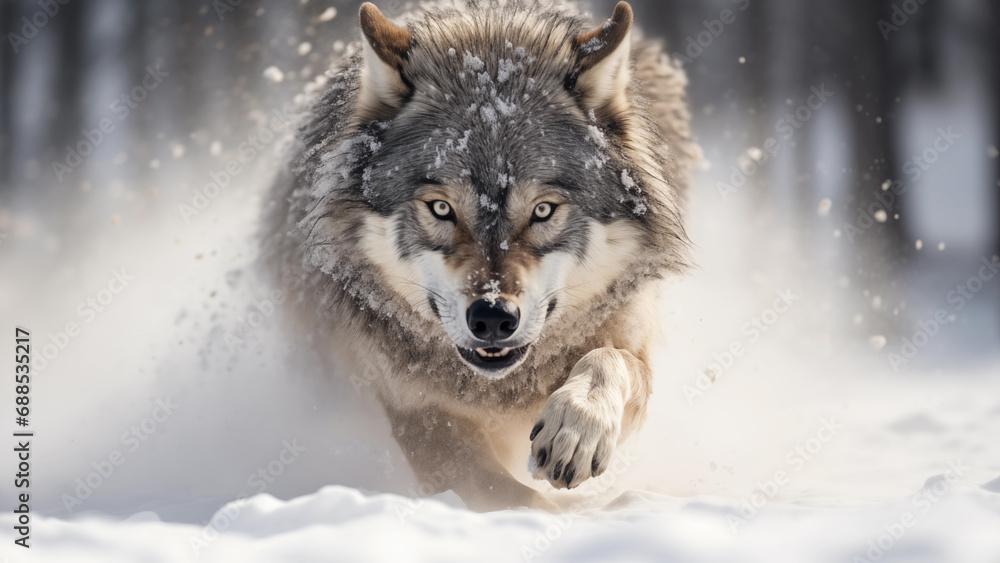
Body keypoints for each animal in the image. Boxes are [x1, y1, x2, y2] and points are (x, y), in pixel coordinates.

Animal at [263, 0, 696, 511]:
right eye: (441, 208)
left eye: (543, 210)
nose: (492, 317)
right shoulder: (418, 414)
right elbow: (509, 496)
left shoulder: (630, 338)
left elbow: (609, 359)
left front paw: (574, 431)